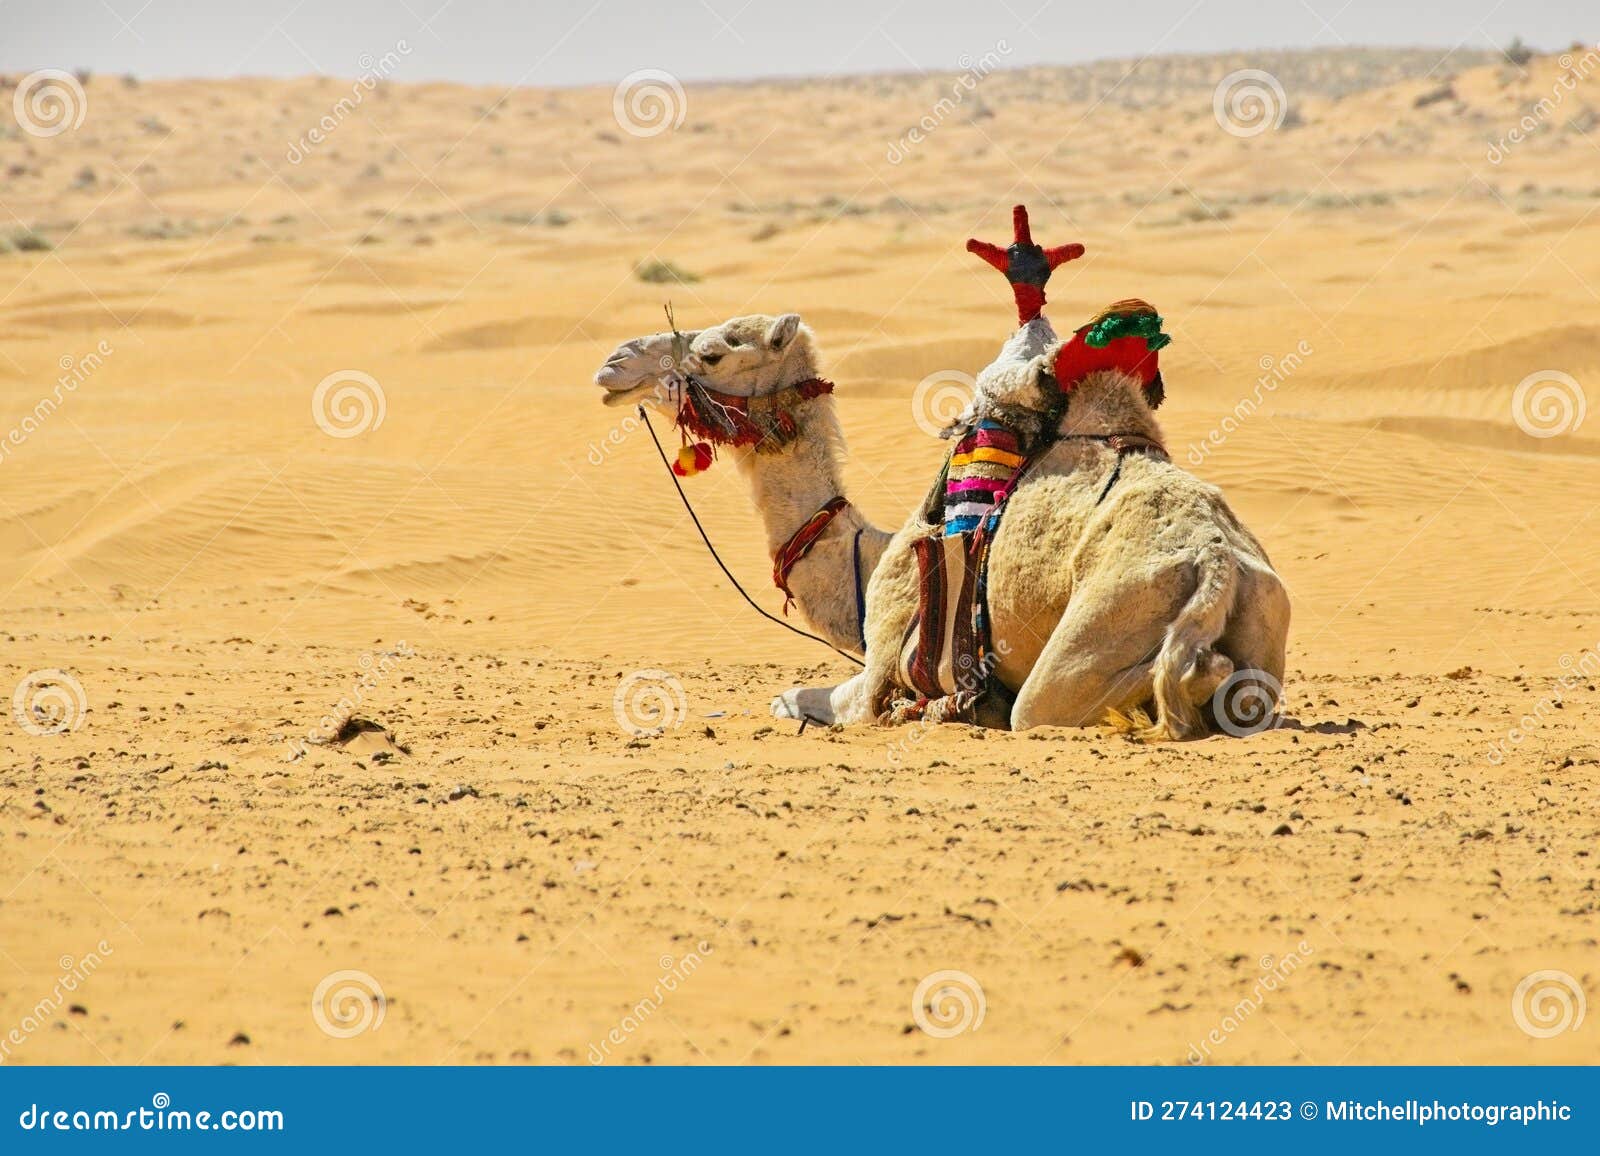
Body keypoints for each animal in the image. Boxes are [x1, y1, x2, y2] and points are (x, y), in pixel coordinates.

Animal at [596, 313, 1290, 739]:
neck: (864, 555)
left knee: (1054, 700)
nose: (612, 365)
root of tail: (1214, 561)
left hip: (1102, 620)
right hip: (1267, 608)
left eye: (712, 352)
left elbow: (797, 699)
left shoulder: (881, 662)